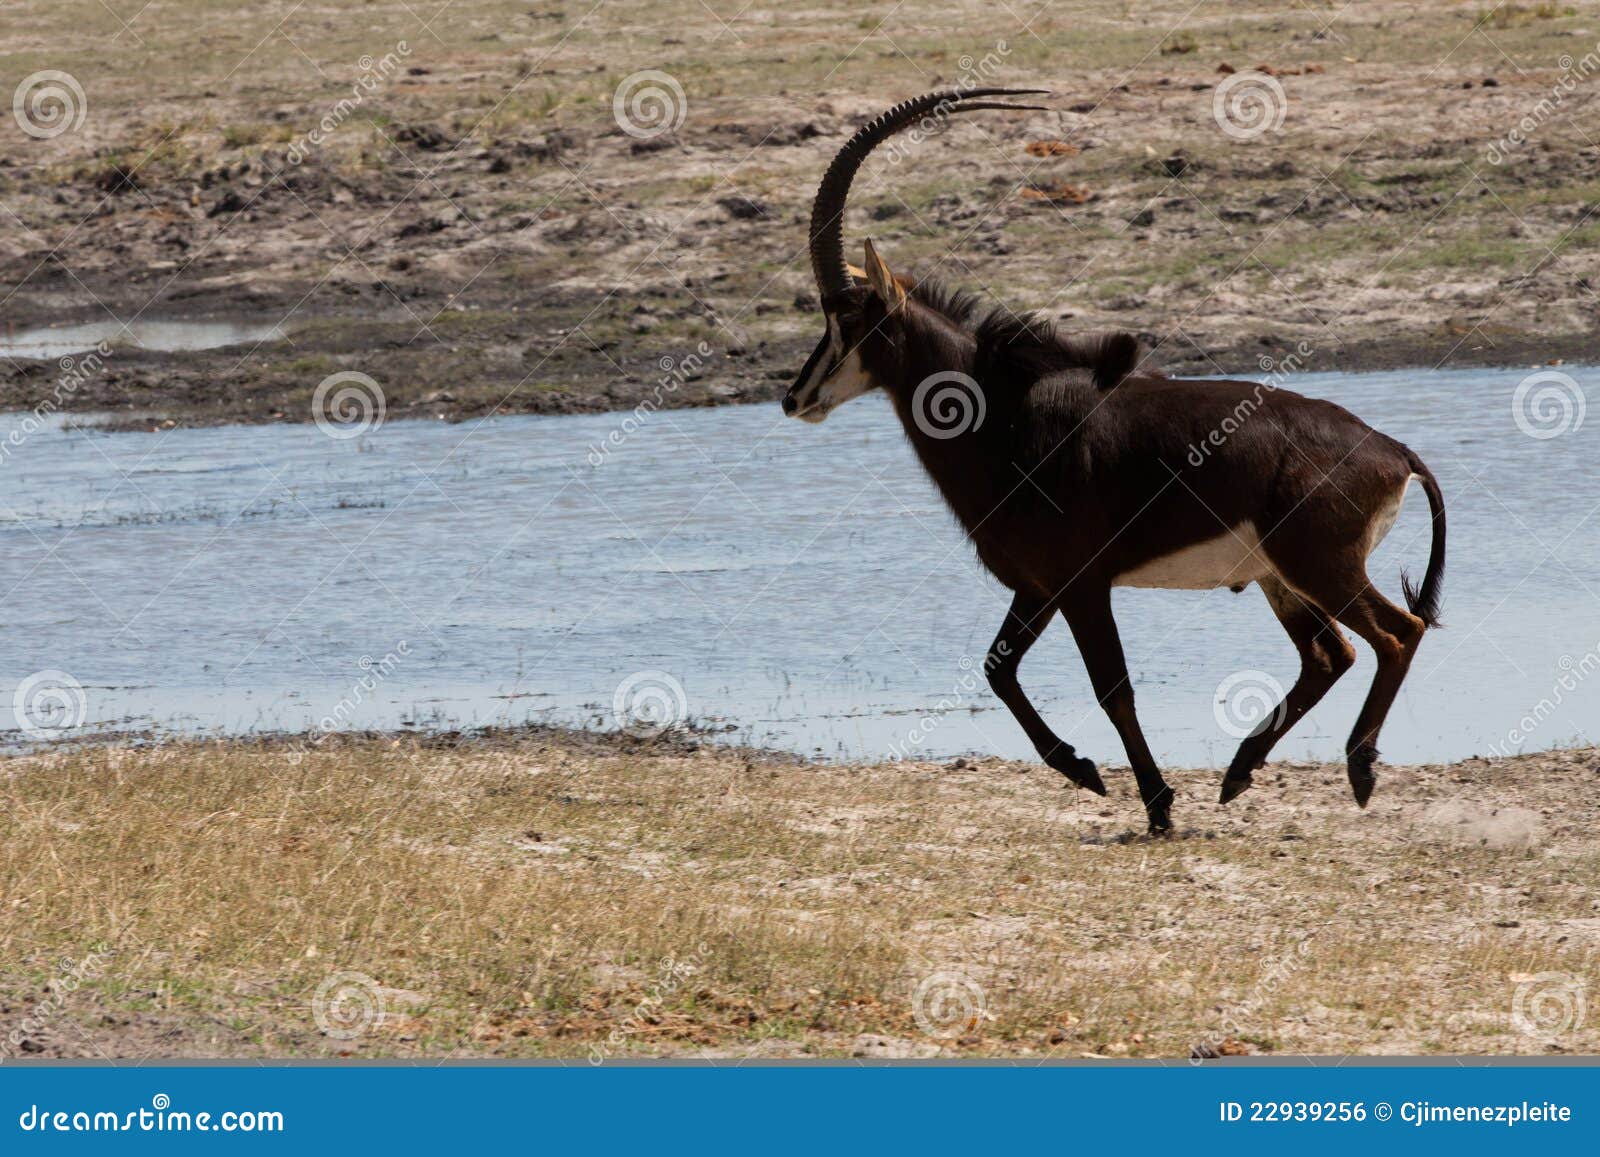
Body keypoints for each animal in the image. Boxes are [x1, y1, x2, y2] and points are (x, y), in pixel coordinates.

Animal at [783, 89, 1446, 834]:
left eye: (849, 321)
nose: (793, 397)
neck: (1005, 412)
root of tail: (1392, 450)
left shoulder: (1081, 586)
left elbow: (1111, 688)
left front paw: (1155, 803)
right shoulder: (1040, 587)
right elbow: (997, 670)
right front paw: (1084, 771)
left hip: (1319, 567)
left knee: (1397, 632)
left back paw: (1357, 770)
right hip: (1283, 579)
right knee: (1331, 655)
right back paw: (1239, 773)